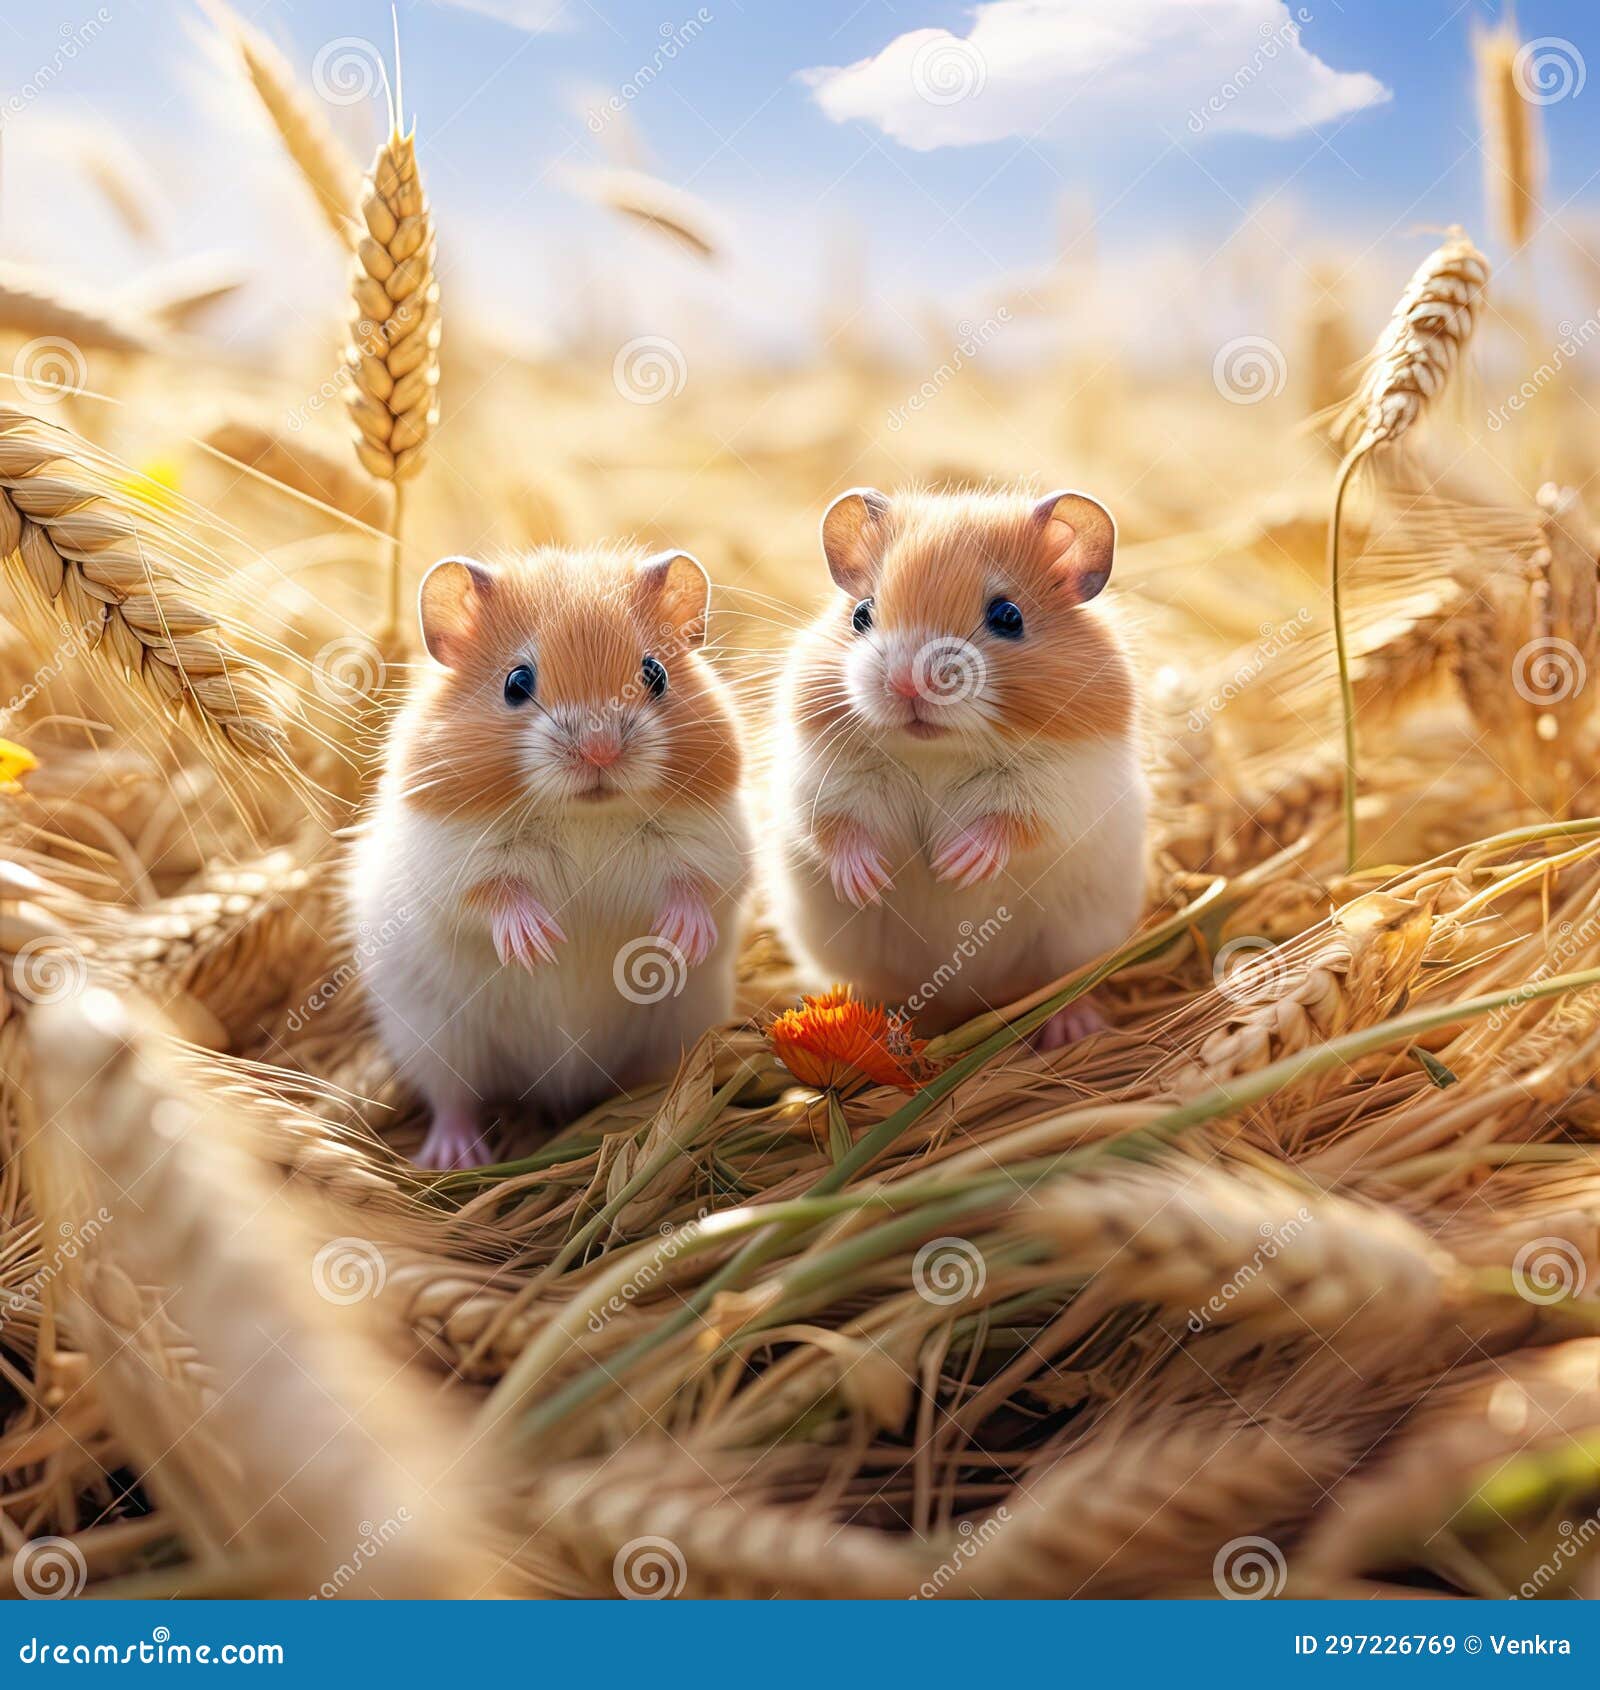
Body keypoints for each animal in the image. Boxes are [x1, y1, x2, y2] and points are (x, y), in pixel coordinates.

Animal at [352, 545, 751, 1170]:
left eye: (655, 673)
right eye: (517, 682)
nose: (600, 752)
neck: (583, 815)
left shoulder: (713, 842)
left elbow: (693, 884)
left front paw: (681, 940)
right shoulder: (451, 859)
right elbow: (495, 893)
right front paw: (540, 945)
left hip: (676, 1028)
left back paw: (659, 1113)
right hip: (433, 1034)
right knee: (452, 1098)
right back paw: (456, 1158)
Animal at [768, 487, 1147, 1045]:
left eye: (1008, 616)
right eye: (862, 614)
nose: (908, 684)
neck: (938, 752)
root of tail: (962, 996)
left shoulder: (1064, 786)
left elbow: (1011, 823)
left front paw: (953, 867)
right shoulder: (823, 777)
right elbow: (841, 828)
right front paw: (868, 883)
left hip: (1075, 939)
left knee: (1059, 985)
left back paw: (1071, 1029)